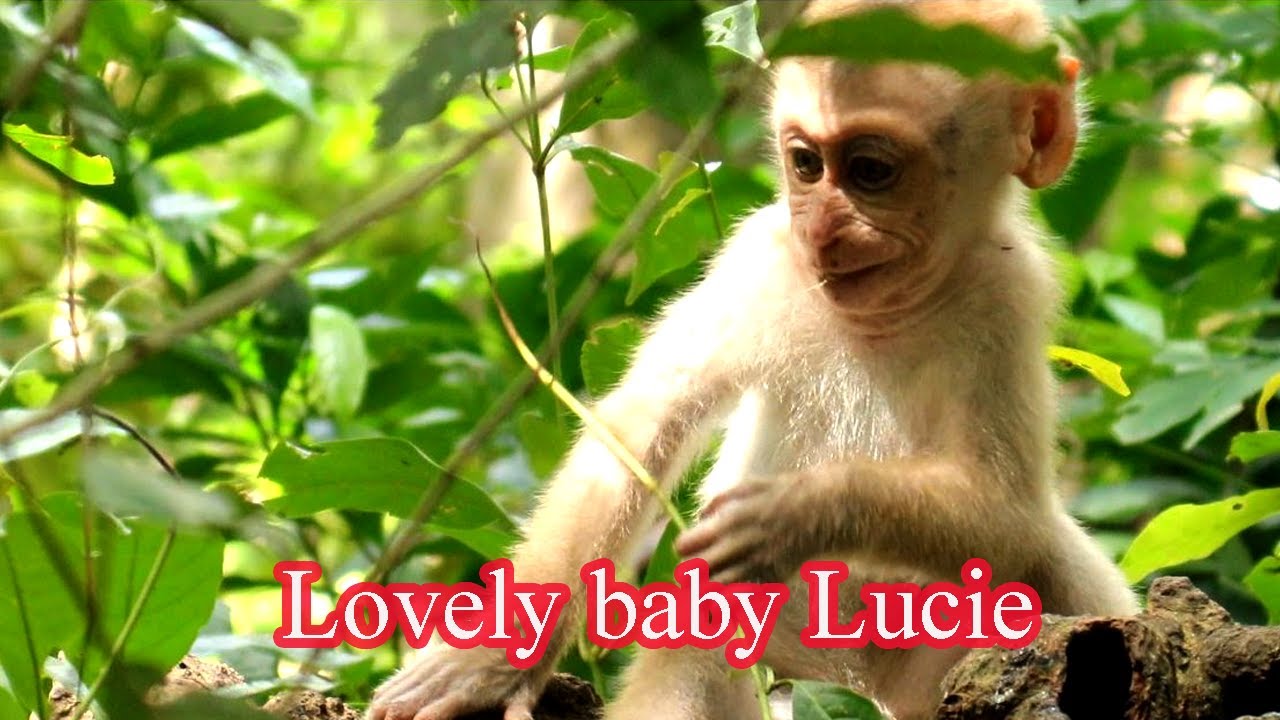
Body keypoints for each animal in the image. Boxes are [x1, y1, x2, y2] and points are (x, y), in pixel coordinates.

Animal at [369, 1, 1138, 719]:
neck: (884, 317)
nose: (822, 229)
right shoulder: (762, 256)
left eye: (871, 171)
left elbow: (1011, 515)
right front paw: (495, 657)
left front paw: (807, 512)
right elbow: (642, 426)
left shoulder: (1009, 293)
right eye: (806, 165)